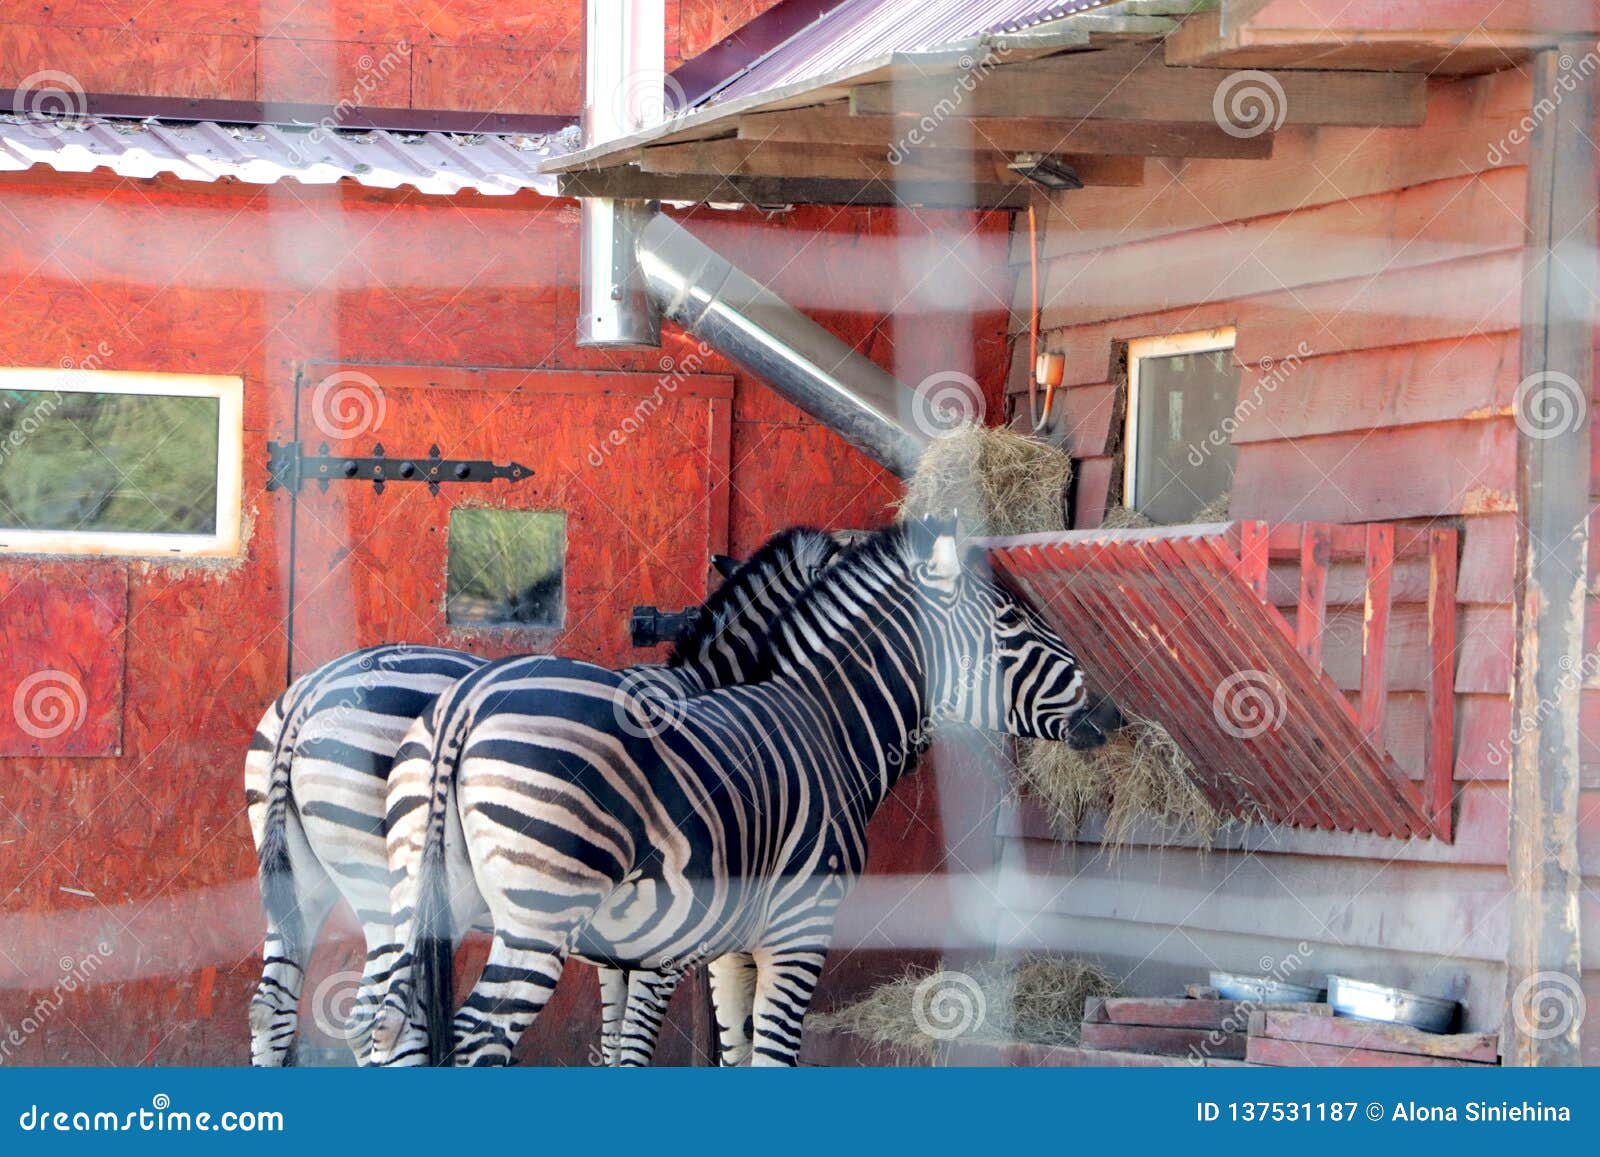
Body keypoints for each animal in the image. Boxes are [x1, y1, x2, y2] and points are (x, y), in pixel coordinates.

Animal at [244, 526, 840, 1066]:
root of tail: (308, 697)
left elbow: (612, 1036)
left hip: (303, 881)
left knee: (274, 1009)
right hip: (385, 890)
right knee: (383, 1021)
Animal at [369, 515, 1122, 1067]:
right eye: (1012, 627)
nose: (1112, 713)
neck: (828, 722)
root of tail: (467, 701)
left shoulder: (725, 947)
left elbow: (725, 1054)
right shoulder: (794, 931)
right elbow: (763, 1057)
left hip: (412, 903)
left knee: (388, 1028)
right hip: (536, 916)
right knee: (473, 1038)